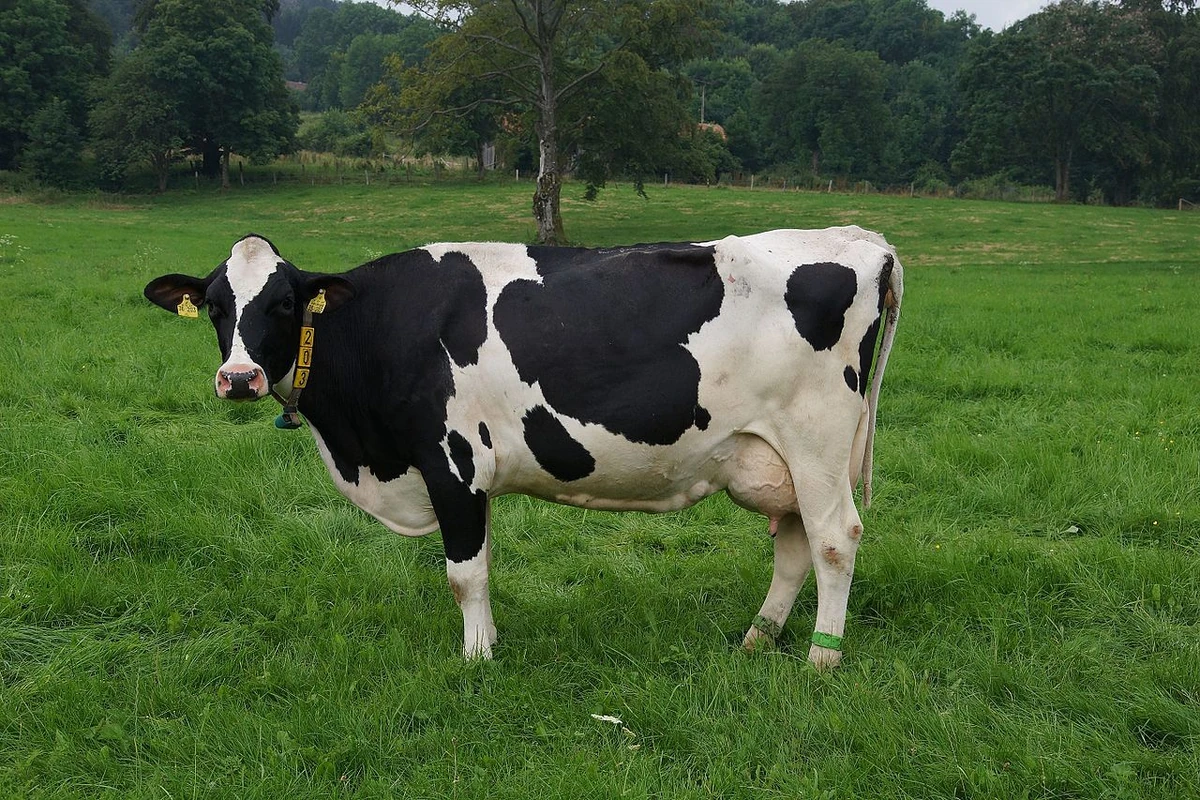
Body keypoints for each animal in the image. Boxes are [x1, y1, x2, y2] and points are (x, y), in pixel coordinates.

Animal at [144, 227, 902, 667]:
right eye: (215, 306)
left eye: (283, 304)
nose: (238, 377)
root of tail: (860, 239)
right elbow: (476, 569)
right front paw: (487, 647)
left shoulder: (451, 463)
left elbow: (463, 574)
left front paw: (477, 659)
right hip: (776, 456)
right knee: (795, 543)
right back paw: (758, 637)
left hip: (817, 441)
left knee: (835, 538)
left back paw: (821, 660)